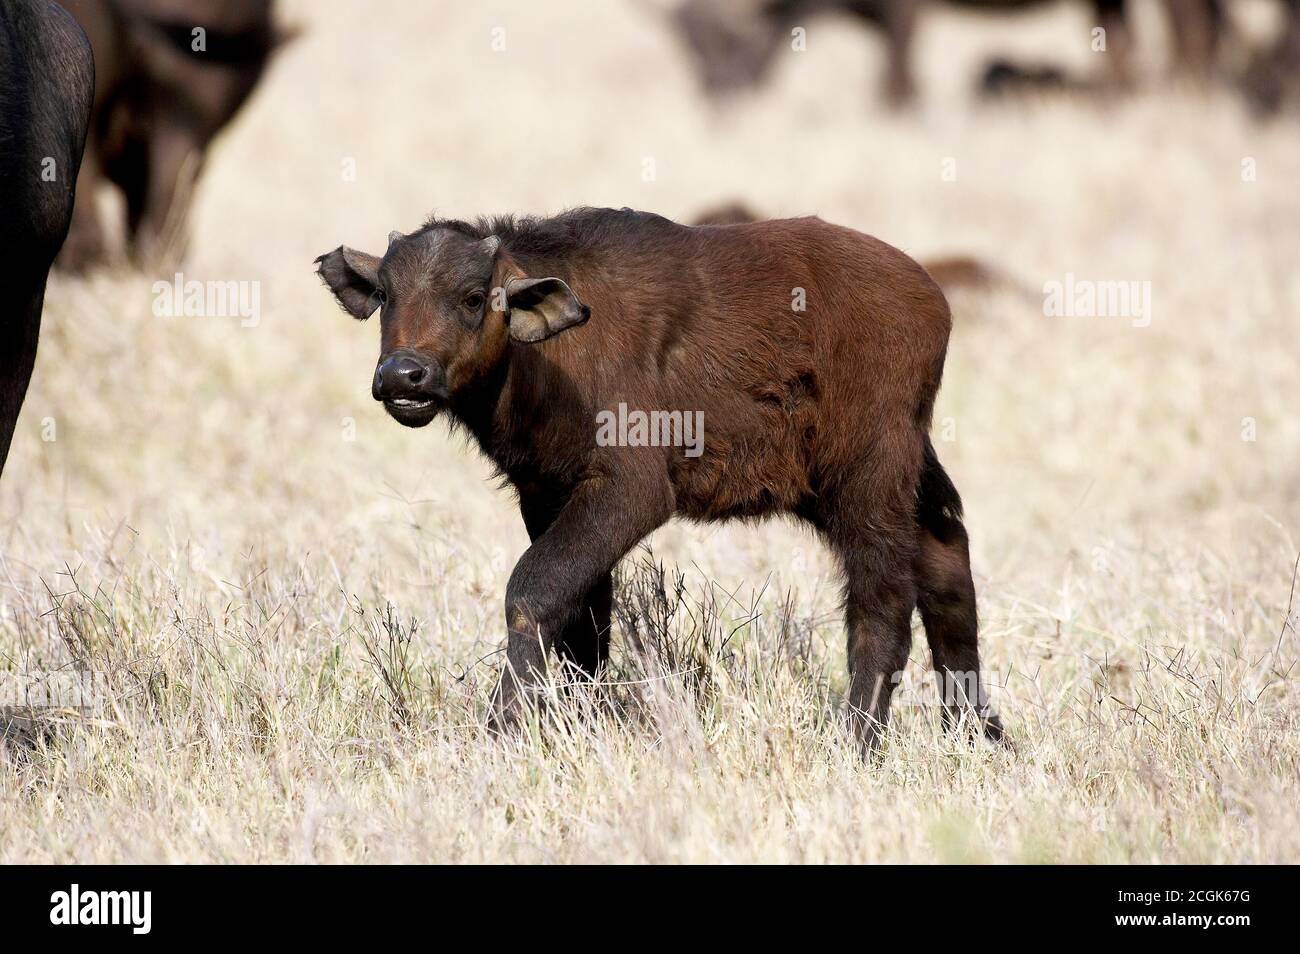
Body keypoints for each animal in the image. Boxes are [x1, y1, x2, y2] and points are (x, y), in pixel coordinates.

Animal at [315, 207, 1005, 754]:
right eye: (387, 295)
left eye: (472, 296)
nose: (403, 375)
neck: (551, 355)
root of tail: (930, 299)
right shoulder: (547, 493)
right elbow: (582, 620)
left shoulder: (631, 490)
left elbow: (532, 588)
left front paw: (504, 729)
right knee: (947, 559)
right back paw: (982, 734)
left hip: (869, 480)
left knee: (883, 607)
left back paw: (858, 742)